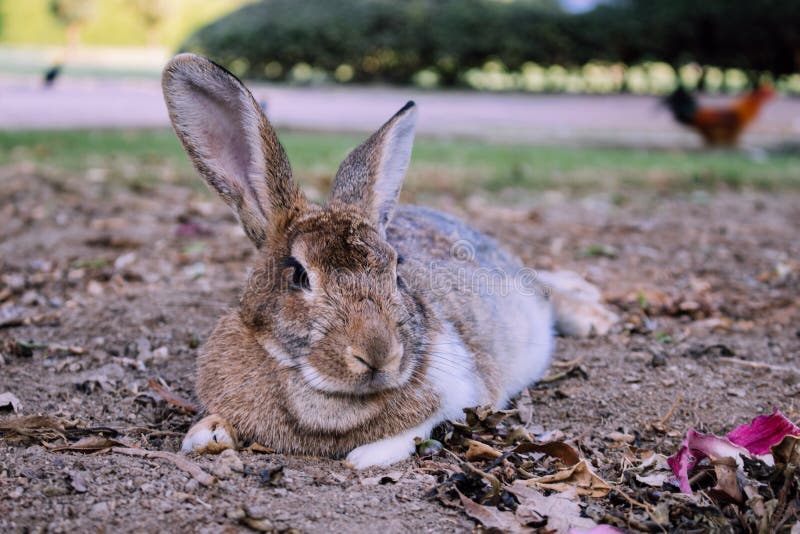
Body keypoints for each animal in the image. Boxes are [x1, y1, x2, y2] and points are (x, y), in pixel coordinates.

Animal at [163, 53, 614, 468]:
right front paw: (205, 435)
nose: (379, 354)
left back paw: (596, 317)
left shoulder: (461, 388)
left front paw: (366, 456)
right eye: (299, 276)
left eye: (397, 273)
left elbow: (418, 426)